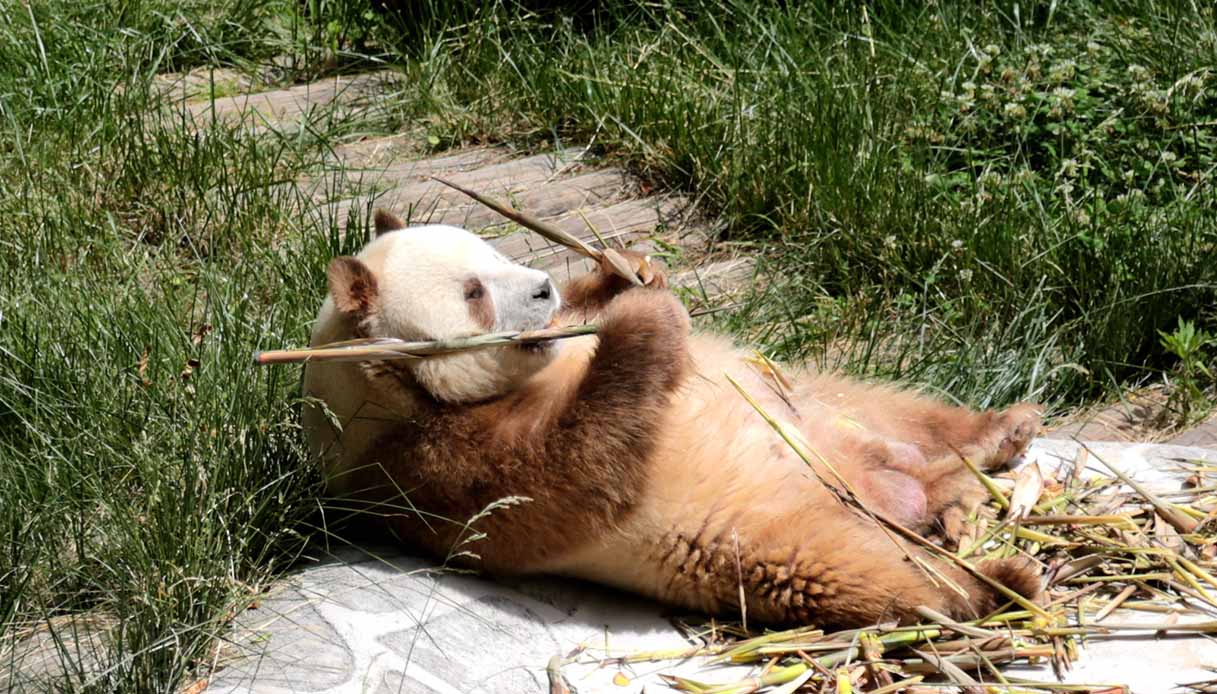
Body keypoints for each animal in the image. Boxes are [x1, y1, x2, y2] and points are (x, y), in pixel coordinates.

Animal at [301, 208, 1043, 629]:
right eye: (474, 294)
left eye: (493, 253)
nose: (541, 289)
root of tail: (902, 493)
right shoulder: (425, 467)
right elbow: (569, 478)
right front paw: (642, 319)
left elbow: (595, 311)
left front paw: (629, 274)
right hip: (763, 543)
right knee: (869, 578)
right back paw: (999, 586)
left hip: (804, 397)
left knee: (893, 410)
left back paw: (998, 432)